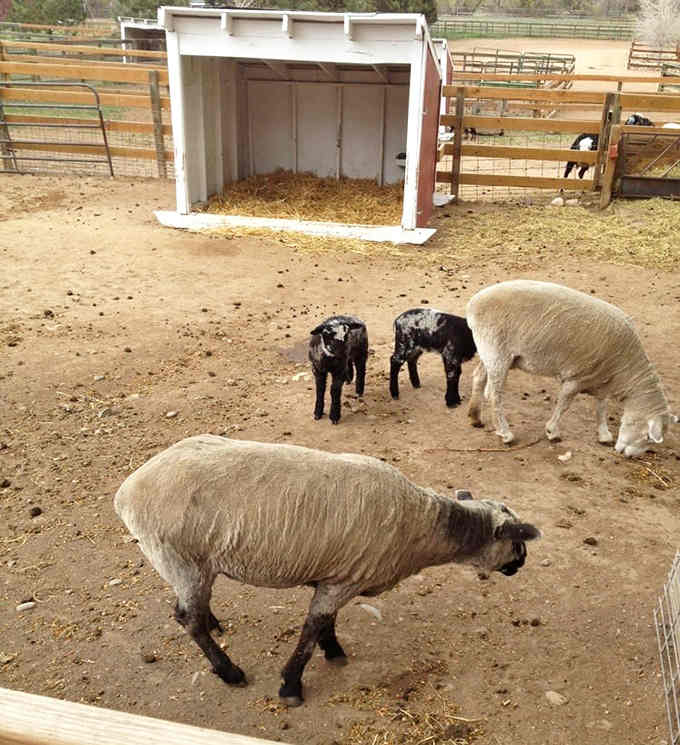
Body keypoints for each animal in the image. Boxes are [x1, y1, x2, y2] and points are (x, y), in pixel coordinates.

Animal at [114, 435, 541, 706]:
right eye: (518, 543)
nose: (519, 566)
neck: (422, 526)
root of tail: (127, 491)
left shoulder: (336, 573)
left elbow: (326, 623)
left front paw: (333, 650)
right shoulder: (345, 580)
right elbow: (312, 627)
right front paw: (291, 685)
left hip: (192, 565)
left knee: (193, 610)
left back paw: (216, 623)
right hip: (180, 557)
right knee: (188, 619)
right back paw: (229, 671)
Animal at [466, 279, 677, 457]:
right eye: (648, 437)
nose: (630, 456)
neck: (625, 369)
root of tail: (473, 303)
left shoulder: (602, 380)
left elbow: (601, 407)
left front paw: (604, 434)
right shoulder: (576, 378)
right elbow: (564, 405)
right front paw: (552, 431)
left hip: (490, 350)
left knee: (478, 377)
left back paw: (475, 417)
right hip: (497, 350)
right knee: (494, 394)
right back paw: (505, 433)